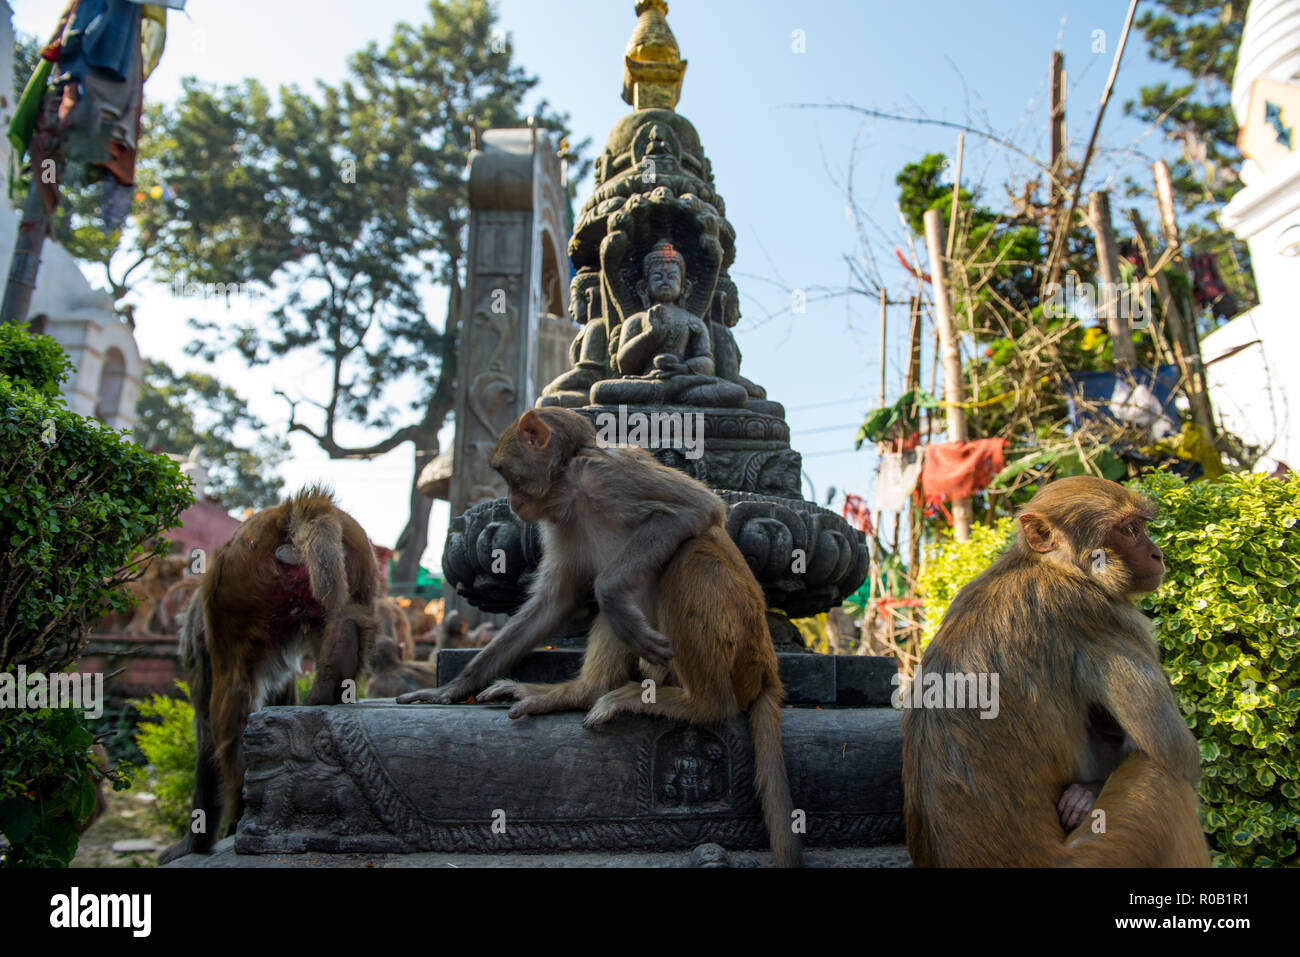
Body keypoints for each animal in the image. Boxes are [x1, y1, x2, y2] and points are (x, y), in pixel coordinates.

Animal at [157, 486, 377, 864]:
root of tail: (292, 513)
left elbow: (206, 737)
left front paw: (196, 840)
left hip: (235, 580)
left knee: (232, 696)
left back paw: (242, 807)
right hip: (346, 554)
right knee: (344, 616)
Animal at [397, 408, 803, 867]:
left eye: (508, 475)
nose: (513, 504)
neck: (570, 488)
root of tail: (768, 668)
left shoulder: (608, 473)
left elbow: (699, 508)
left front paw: (612, 591)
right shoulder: (559, 519)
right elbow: (556, 600)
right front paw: (452, 687)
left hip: (739, 647)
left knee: (688, 551)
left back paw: (700, 703)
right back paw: (581, 691)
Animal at [902, 475, 1211, 867]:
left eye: (1140, 527)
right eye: (1129, 530)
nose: (1157, 555)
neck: (1051, 566)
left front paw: (1084, 793)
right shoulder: (1102, 615)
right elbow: (1173, 751)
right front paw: (1090, 791)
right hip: (1117, 848)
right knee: (1161, 775)